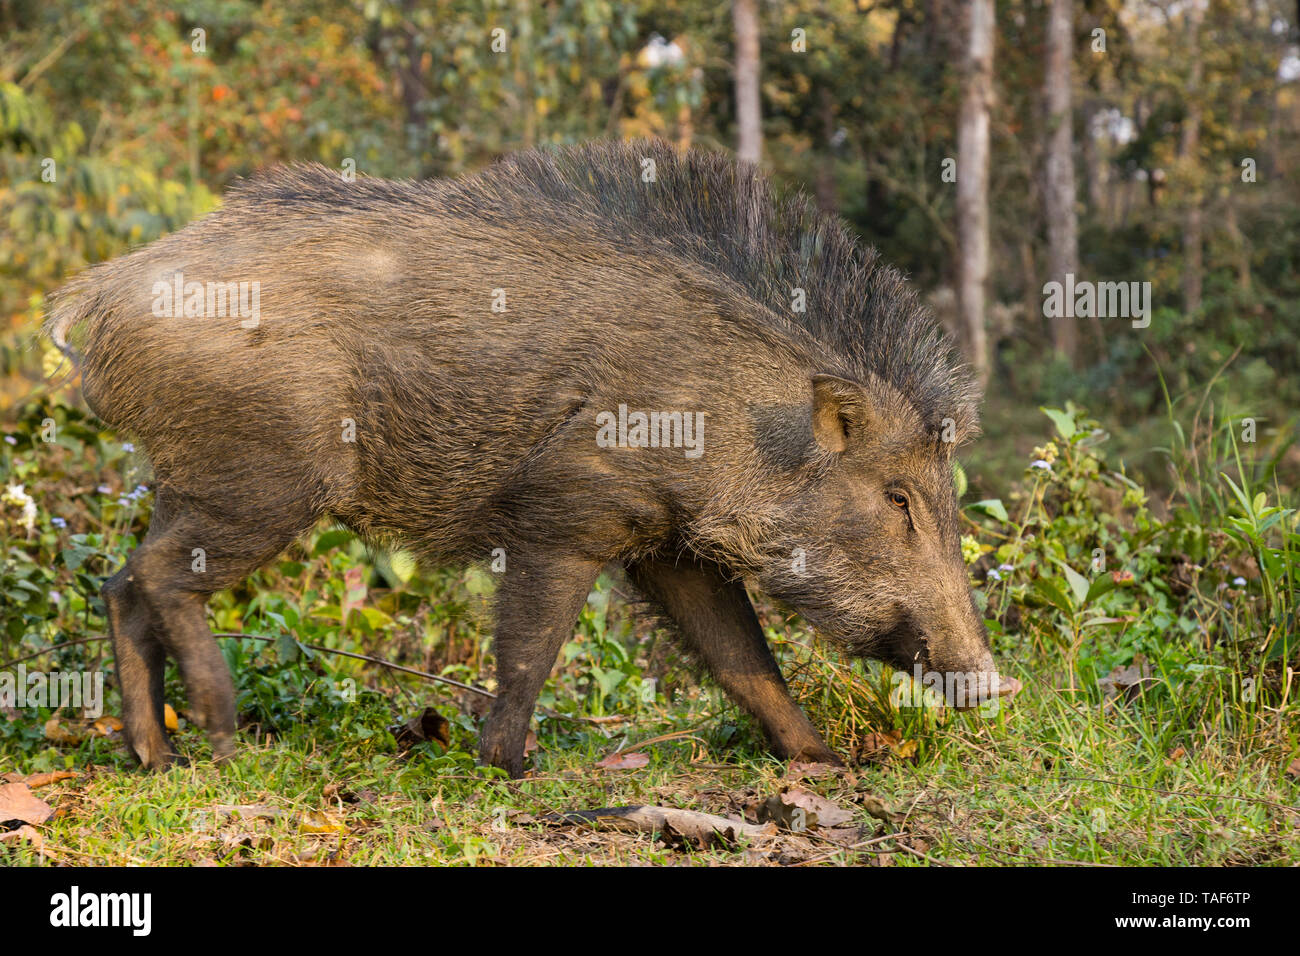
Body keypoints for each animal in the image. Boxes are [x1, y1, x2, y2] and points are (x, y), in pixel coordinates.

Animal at [46, 140, 1012, 778]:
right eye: (897, 498)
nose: (992, 685)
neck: (737, 420)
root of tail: (97, 294)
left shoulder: (669, 547)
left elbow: (745, 661)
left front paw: (827, 764)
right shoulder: (566, 514)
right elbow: (531, 647)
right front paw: (512, 766)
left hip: (195, 481)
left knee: (121, 583)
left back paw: (155, 756)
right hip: (263, 482)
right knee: (158, 579)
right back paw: (220, 735)